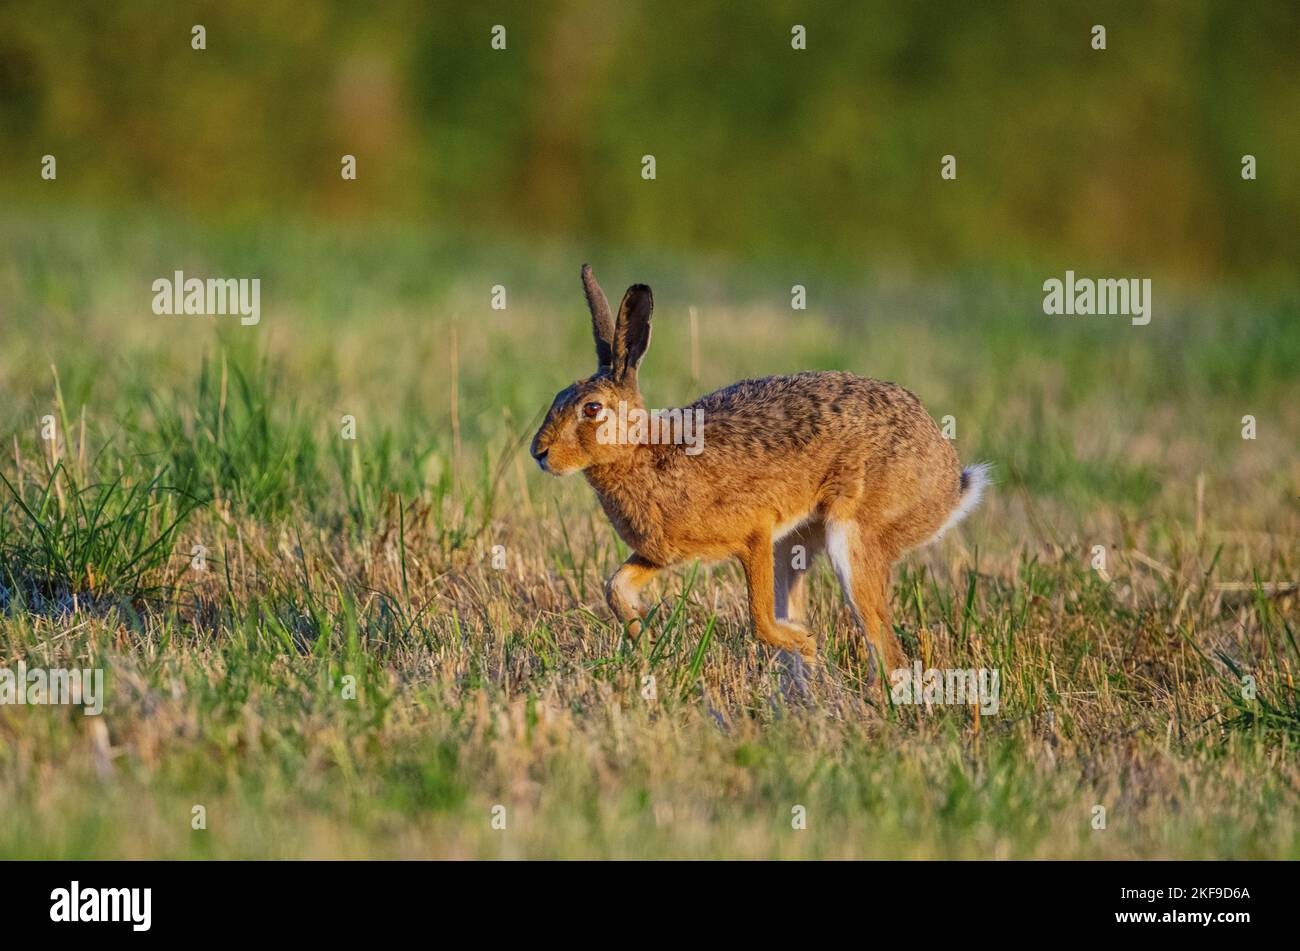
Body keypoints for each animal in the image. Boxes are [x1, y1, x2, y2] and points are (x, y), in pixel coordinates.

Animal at [530, 264, 989, 672]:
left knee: (884, 646)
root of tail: (948, 481)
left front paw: (805, 644)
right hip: (795, 543)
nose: (539, 452)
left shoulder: (755, 534)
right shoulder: (662, 552)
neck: (643, 451)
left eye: (592, 408)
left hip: (854, 534)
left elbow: (761, 621)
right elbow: (616, 586)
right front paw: (643, 639)